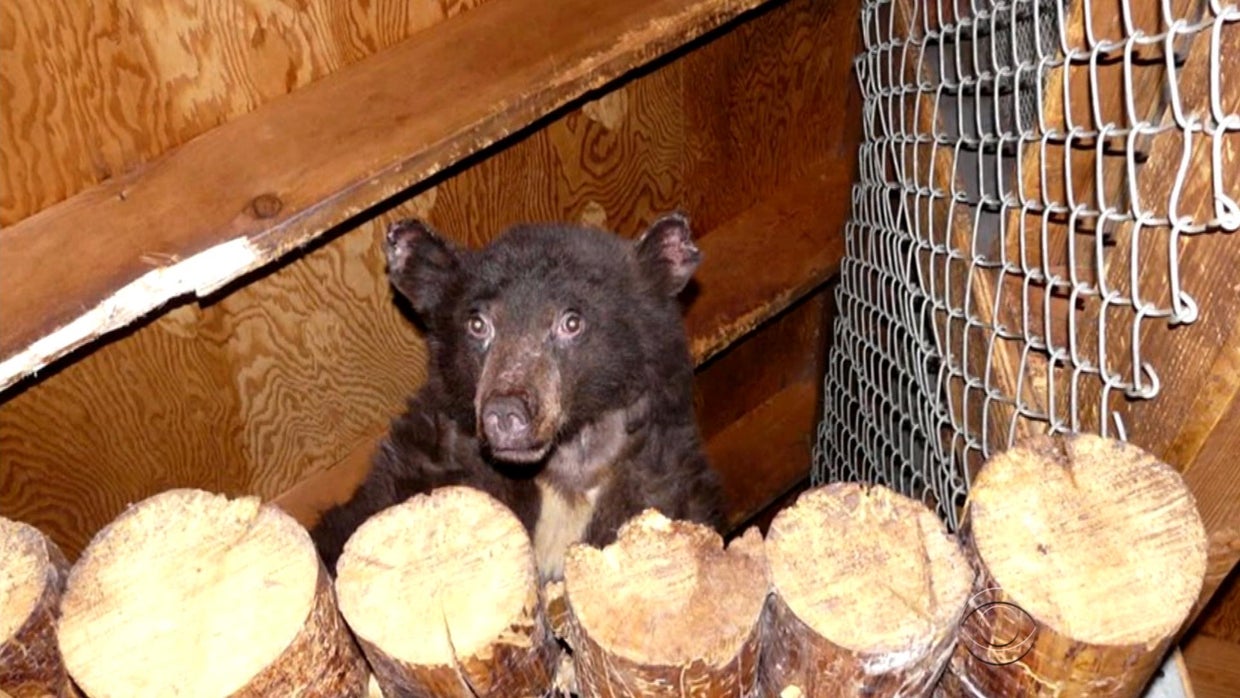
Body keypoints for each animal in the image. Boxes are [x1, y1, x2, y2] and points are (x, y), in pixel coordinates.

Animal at [311, 213, 725, 579]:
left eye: (571, 322)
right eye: (477, 324)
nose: (506, 414)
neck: (566, 466)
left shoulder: (662, 480)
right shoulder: (428, 468)